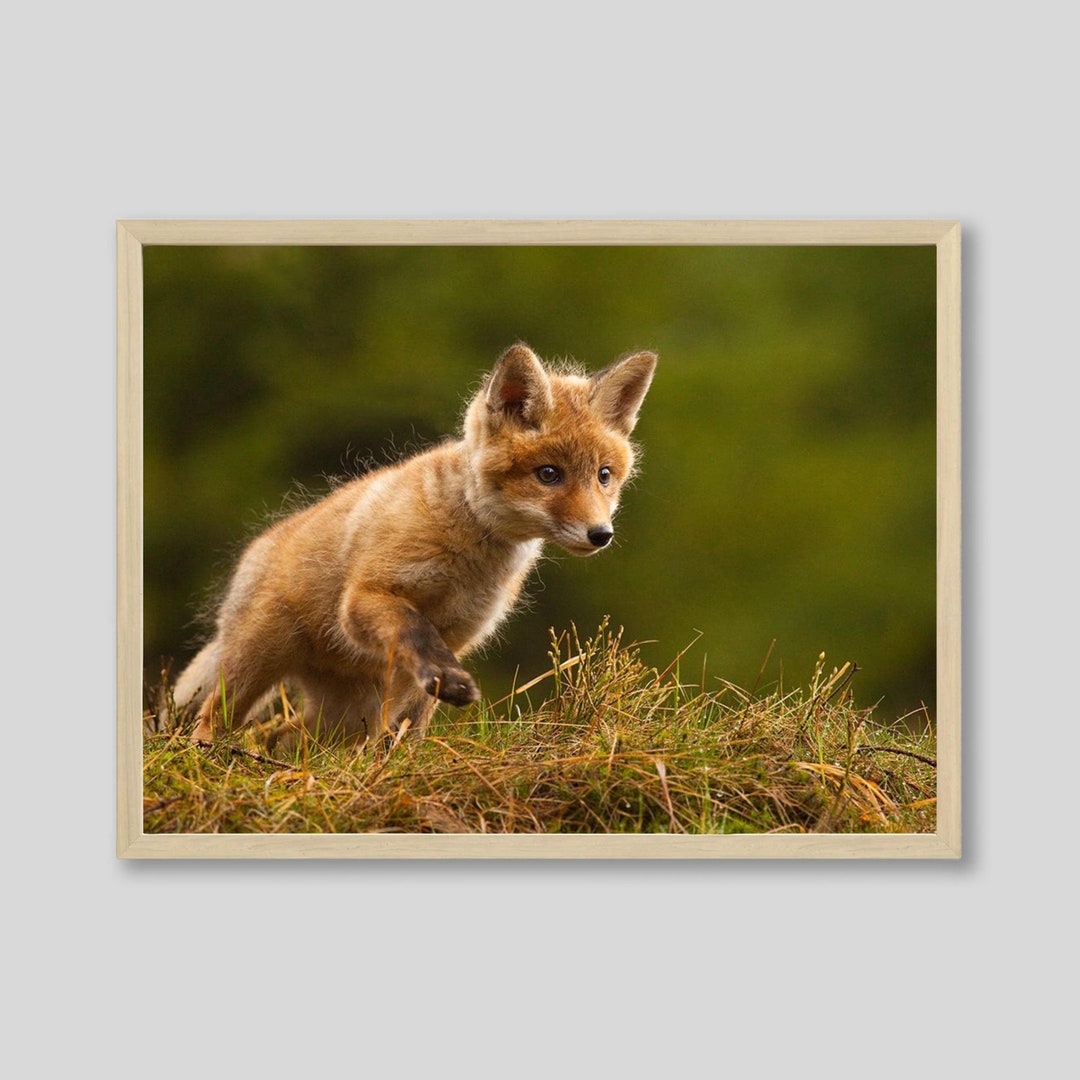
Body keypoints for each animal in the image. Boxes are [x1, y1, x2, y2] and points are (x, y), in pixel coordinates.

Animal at [171, 342, 657, 749]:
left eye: (604, 475)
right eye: (549, 474)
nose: (600, 534)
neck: (468, 559)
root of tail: (253, 554)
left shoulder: (459, 634)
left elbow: (412, 719)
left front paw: (401, 760)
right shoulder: (366, 600)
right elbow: (415, 629)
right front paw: (447, 682)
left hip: (345, 715)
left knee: (282, 736)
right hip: (258, 660)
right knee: (214, 718)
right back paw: (208, 753)